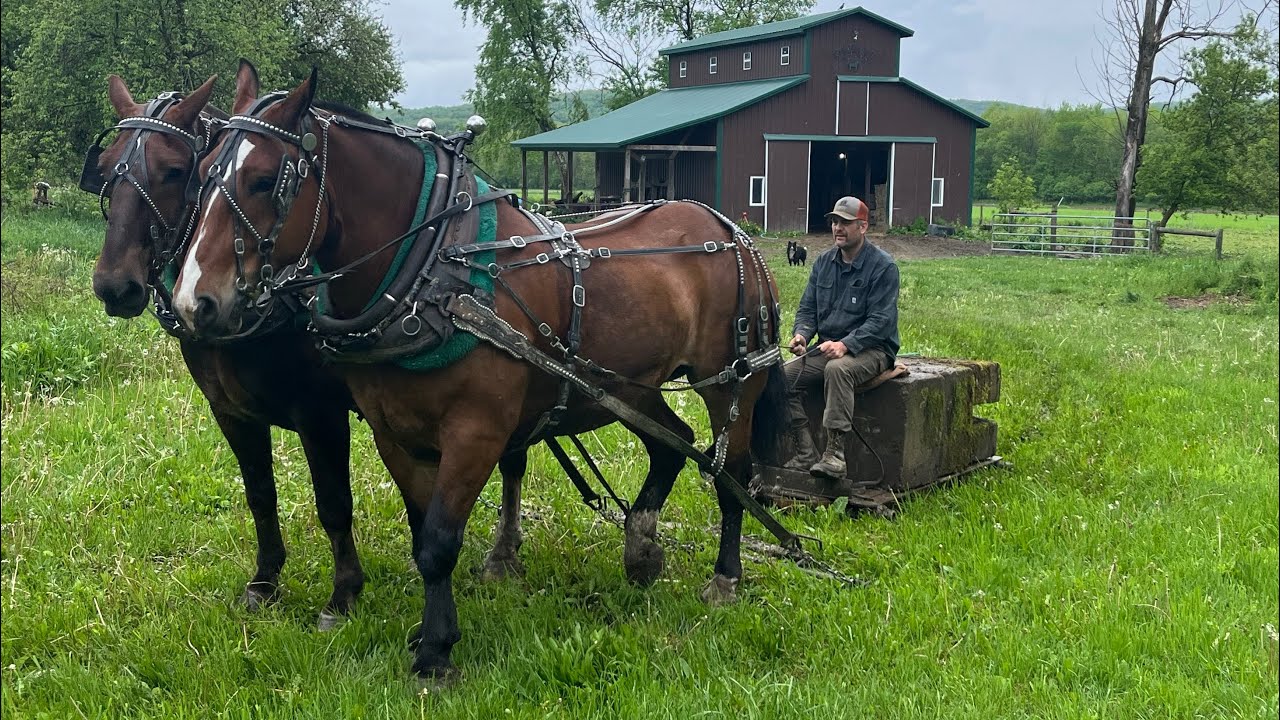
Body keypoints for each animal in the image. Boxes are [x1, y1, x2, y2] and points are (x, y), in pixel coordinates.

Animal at [171, 62, 788, 682]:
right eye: (199, 173)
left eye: (263, 179)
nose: (194, 302)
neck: (434, 269)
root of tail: (728, 227)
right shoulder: (394, 433)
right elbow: (421, 533)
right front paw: (428, 632)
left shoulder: (476, 431)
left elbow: (440, 541)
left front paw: (435, 654)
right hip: (626, 386)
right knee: (671, 443)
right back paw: (640, 550)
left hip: (731, 378)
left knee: (730, 472)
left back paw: (725, 576)